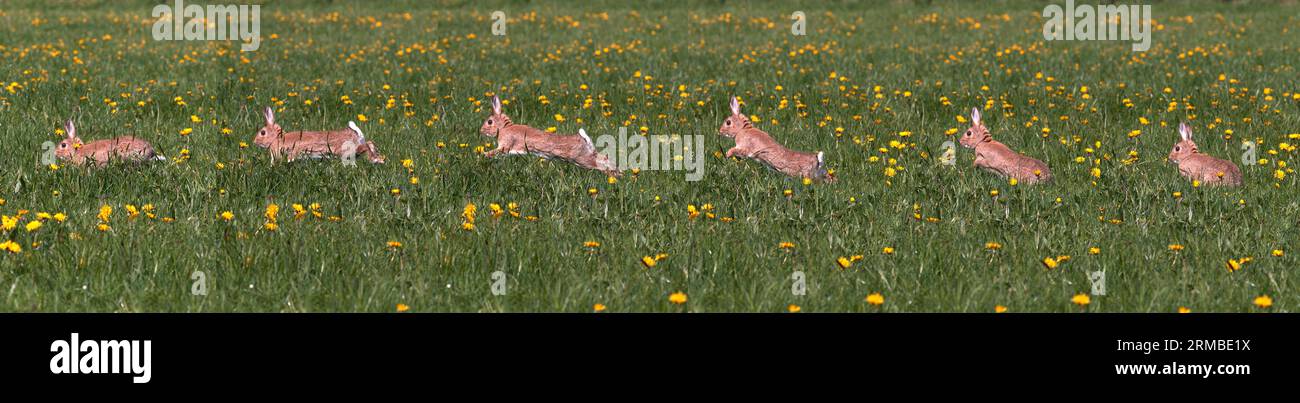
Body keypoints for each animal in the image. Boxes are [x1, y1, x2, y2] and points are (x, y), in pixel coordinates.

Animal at [252, 107, 385, 164]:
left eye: (262, 132)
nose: (254, 142)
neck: (277, 138)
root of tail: (354, 132)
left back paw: (377, 160)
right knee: (370, 144)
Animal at [479, 96, 620, 176]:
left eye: (489, 122)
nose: (481, 131)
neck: (504, 128)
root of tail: (584, 139)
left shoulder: (505, 145)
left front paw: (484, 155)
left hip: (583, 159)